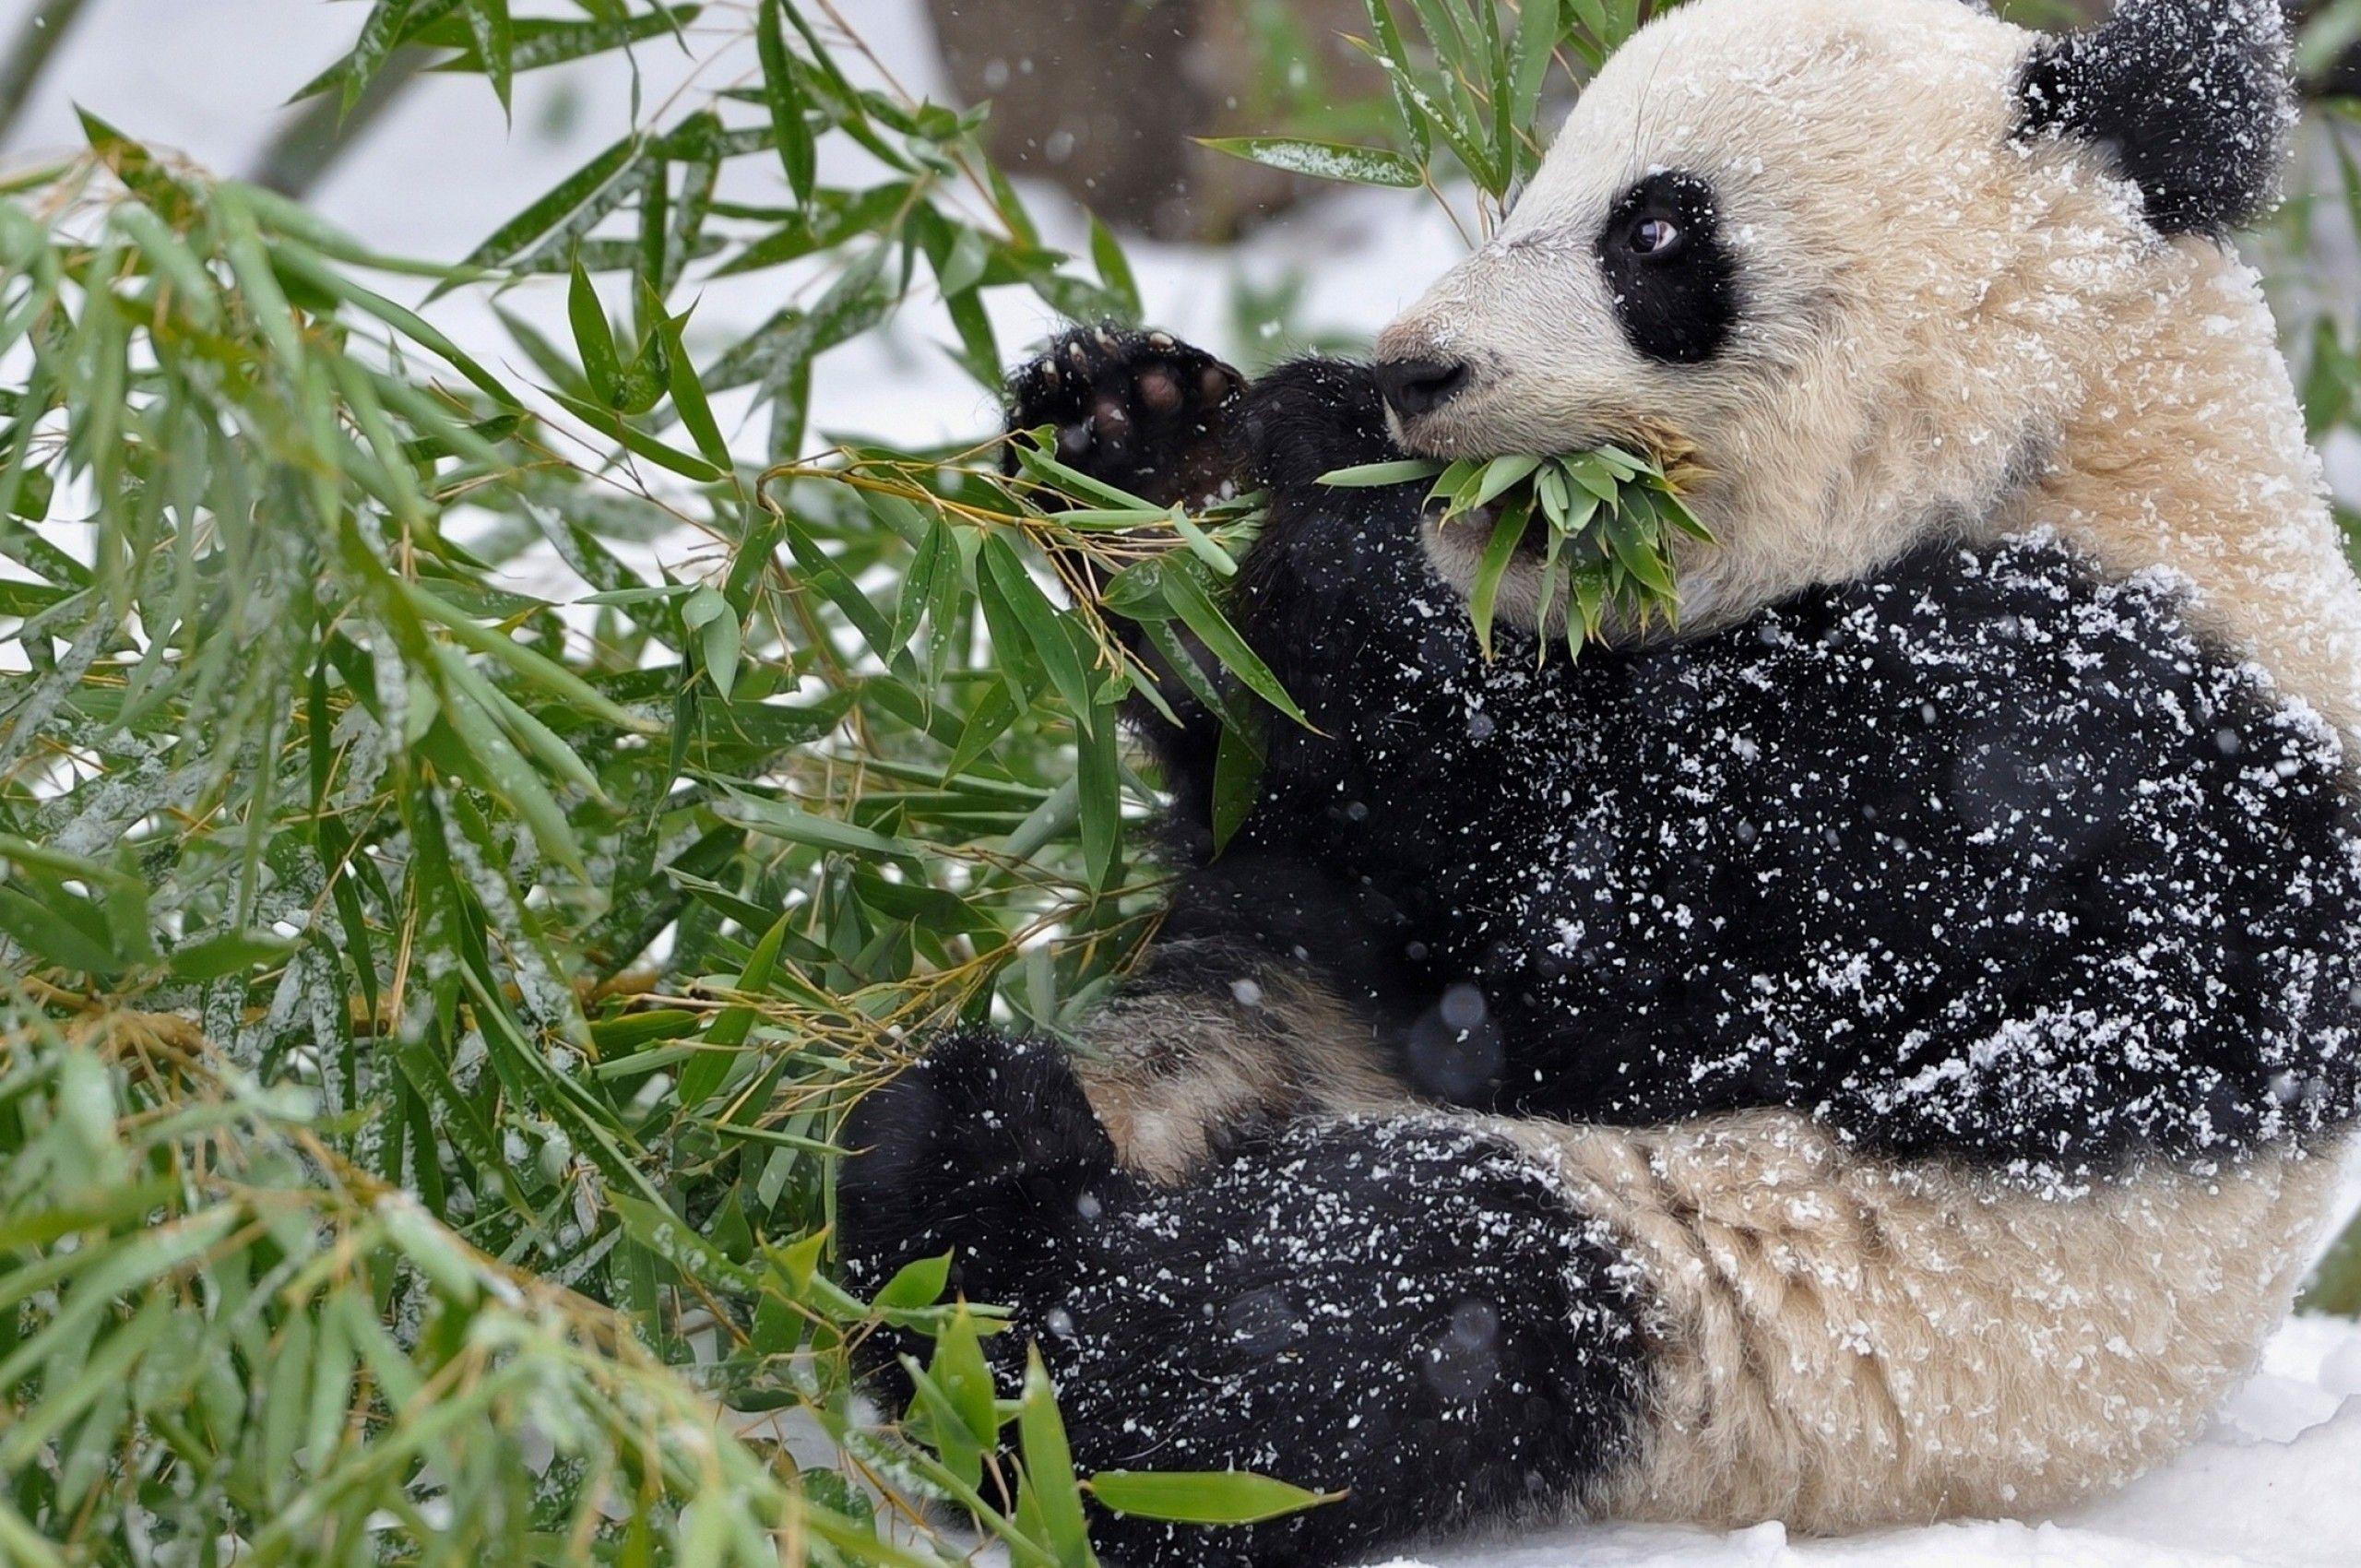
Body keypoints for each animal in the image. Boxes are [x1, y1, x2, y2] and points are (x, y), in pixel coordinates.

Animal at [838, 1, 2361, 1565]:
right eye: (1526, 195)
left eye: (1656, 233)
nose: (1414, 370)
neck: (2078, 427)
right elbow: (1287, 806)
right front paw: (1142, 438)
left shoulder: (2081, 741)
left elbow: (1627, 926)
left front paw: (1309, 472)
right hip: (1268, 1028)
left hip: (1763, 1314)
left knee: (1371, 1314)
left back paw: (984, 1202)